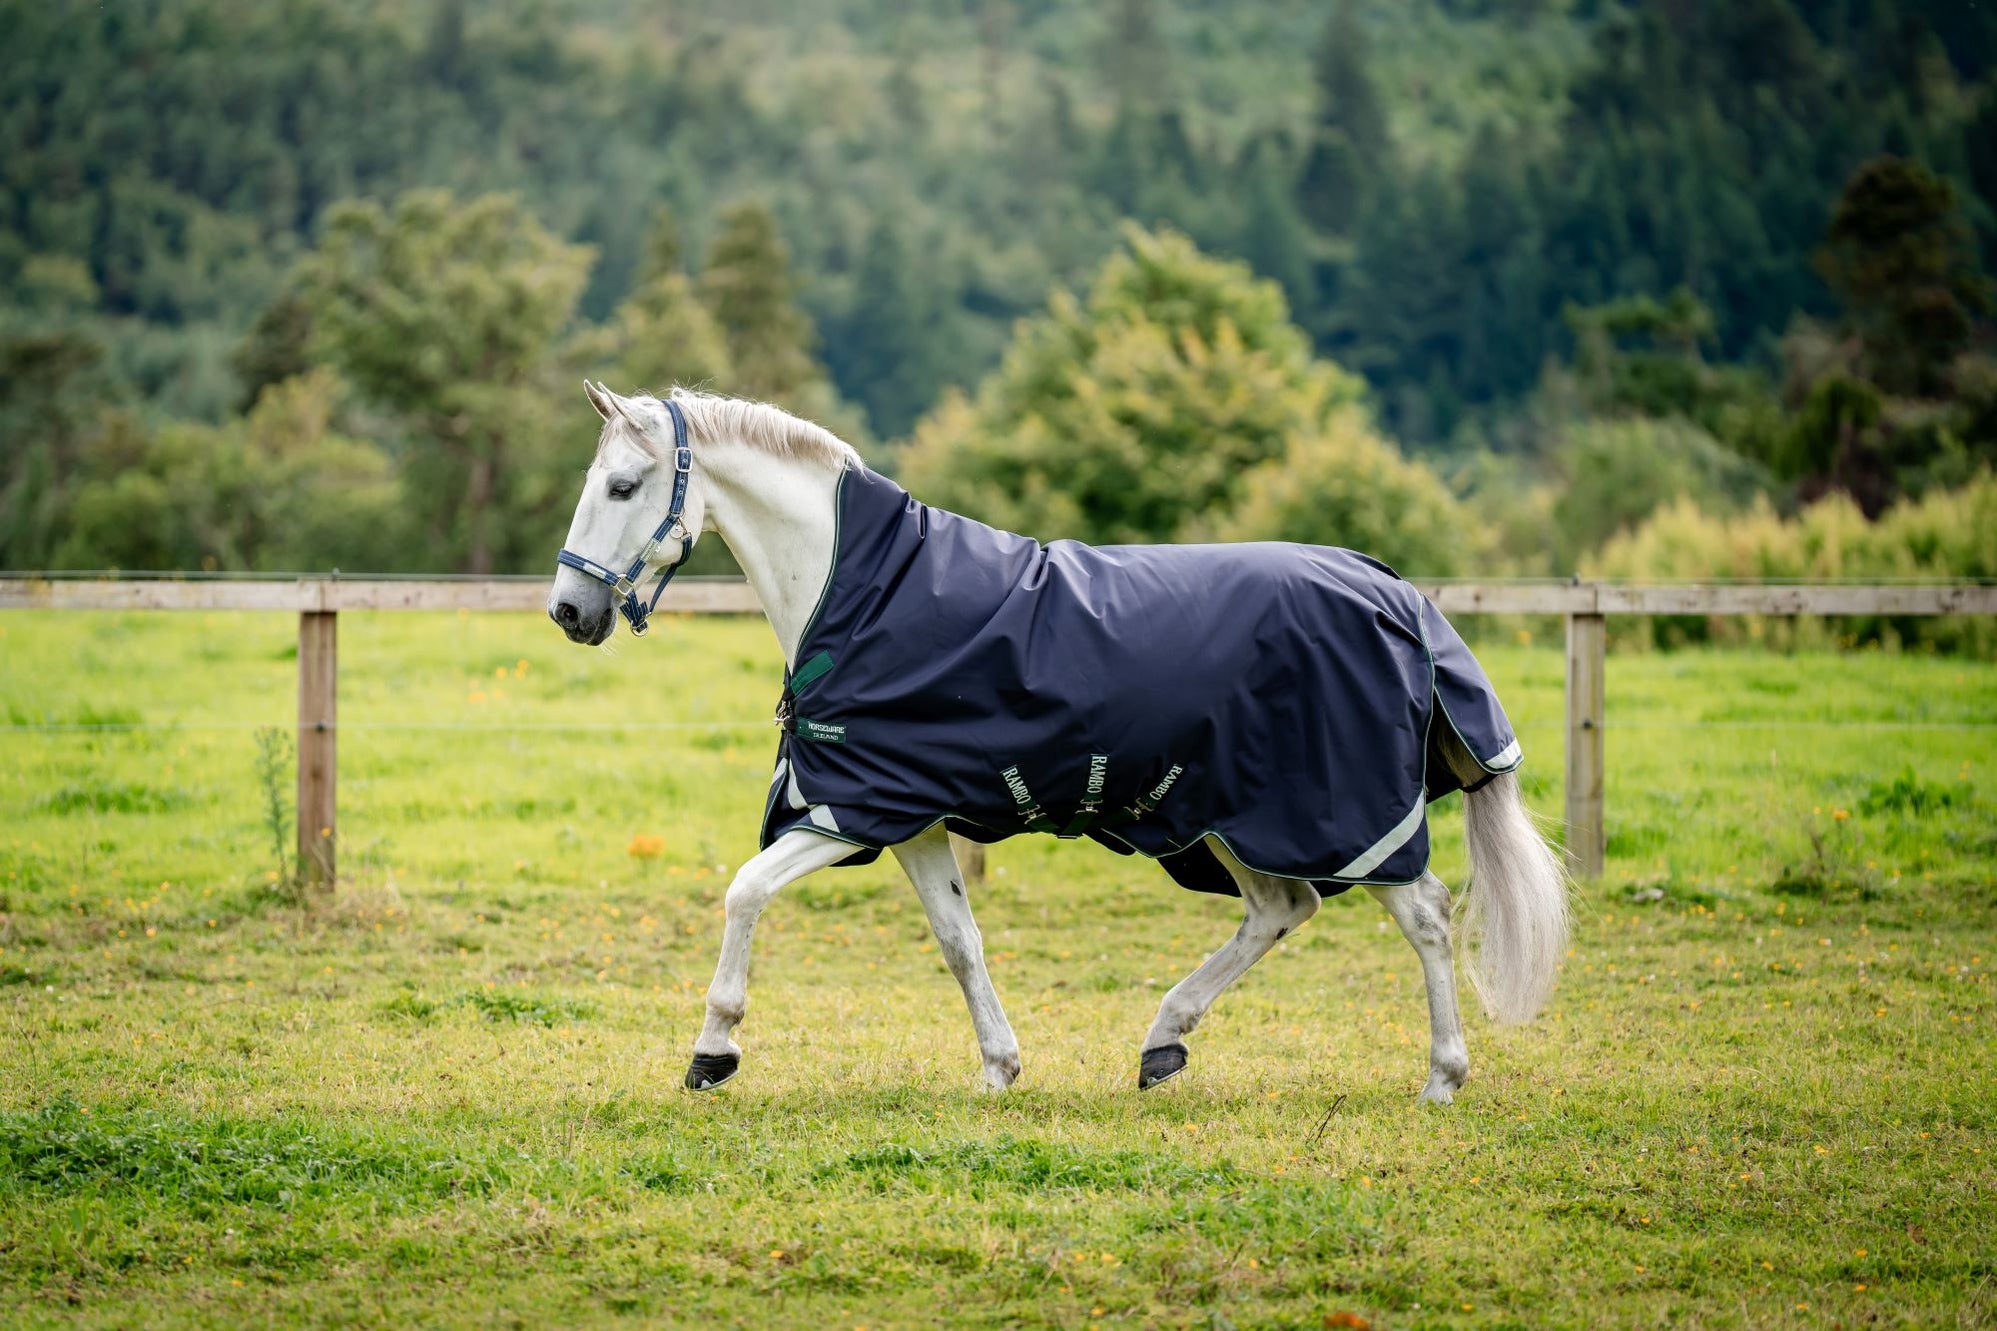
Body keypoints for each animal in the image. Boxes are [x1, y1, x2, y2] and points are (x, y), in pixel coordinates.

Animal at [549, 383, 1567, 1103]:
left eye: (624, 487)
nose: (568, 612)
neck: (864, 592)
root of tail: (1395, 592)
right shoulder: (909, 815)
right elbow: (959, 938)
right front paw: (999, 1066)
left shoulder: (852, 809)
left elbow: (745, 891)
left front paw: (712, 1052)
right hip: (1224, 814)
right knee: (1283, 908)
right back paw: (1162, 1042)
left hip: (1329, 814)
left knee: (1424, 911)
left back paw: (1441, 1076)